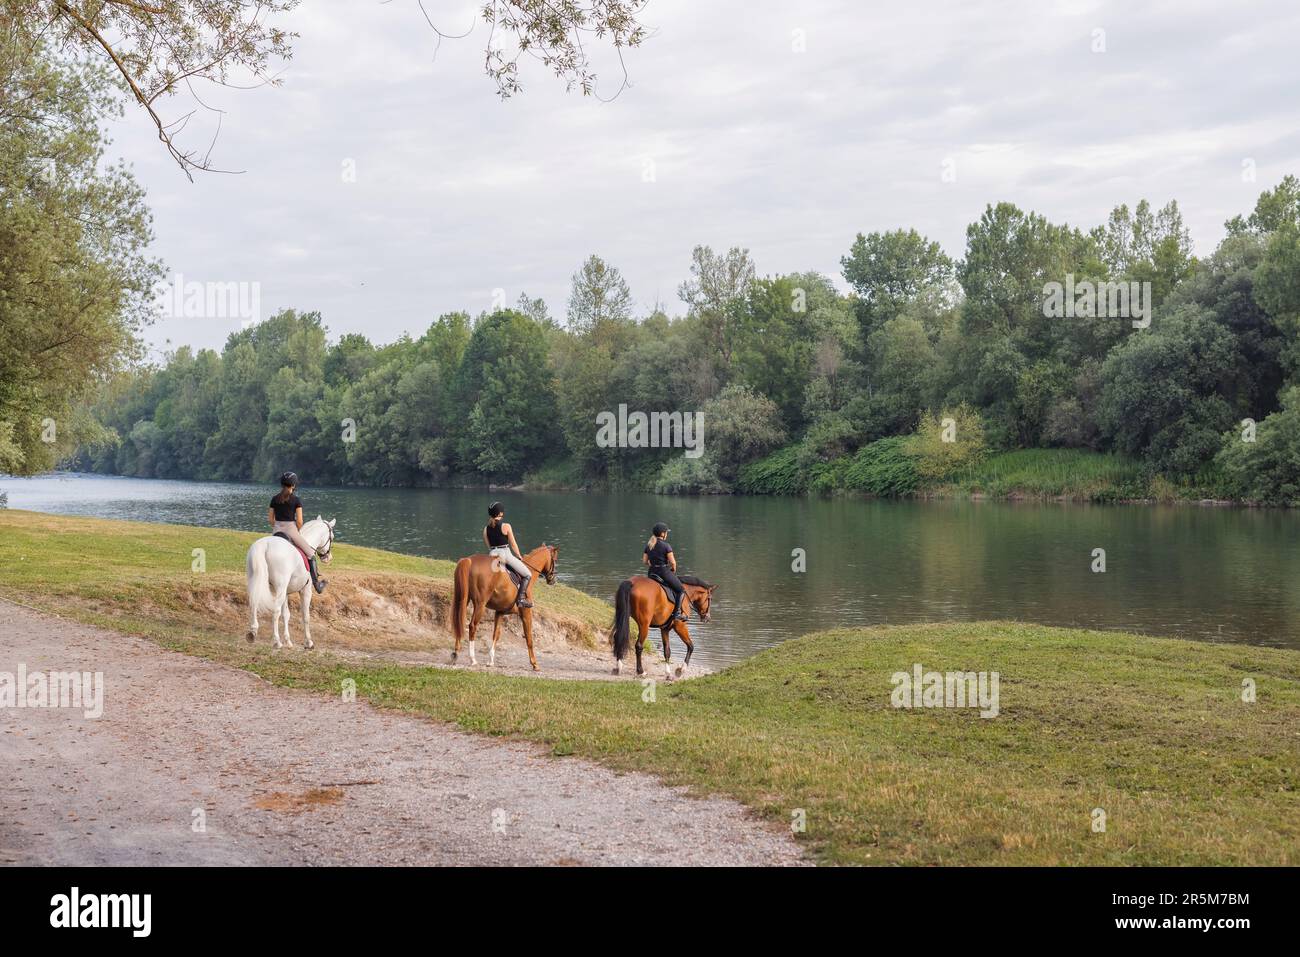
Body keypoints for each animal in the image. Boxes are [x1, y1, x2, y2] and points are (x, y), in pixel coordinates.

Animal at [245, 516, 336, 650]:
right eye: (332, 537)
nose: (328, 558)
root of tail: (265, 545)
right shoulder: (305, 590)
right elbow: (305, 616)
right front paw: (308, 642)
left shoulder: (286, 593)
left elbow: (286, 615)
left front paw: (288, 641)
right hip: (279, 588)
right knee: (275, 611)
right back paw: (276, 642)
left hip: (256, 581)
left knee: (254, 603)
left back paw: (252, 633)